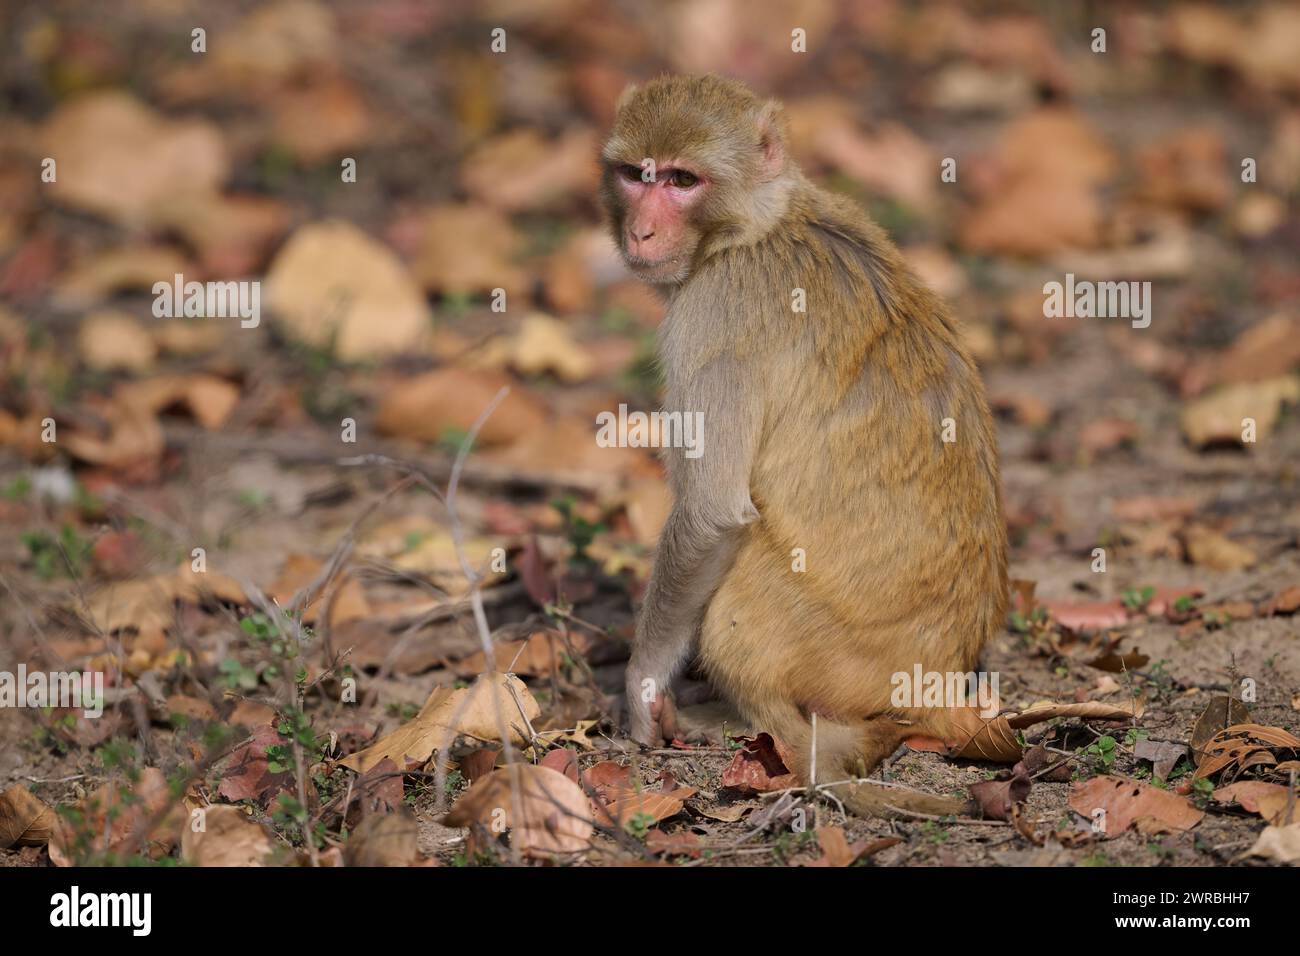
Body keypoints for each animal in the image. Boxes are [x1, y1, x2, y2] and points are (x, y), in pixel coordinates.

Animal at [600, 75, 1008, 782]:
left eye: (682, 180)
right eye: (636, 175)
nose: (642, 231)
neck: (755, 225)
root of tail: (937, 684)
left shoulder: (716, 310)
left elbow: (712, 513)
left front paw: (642, 685)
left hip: (830, 657)